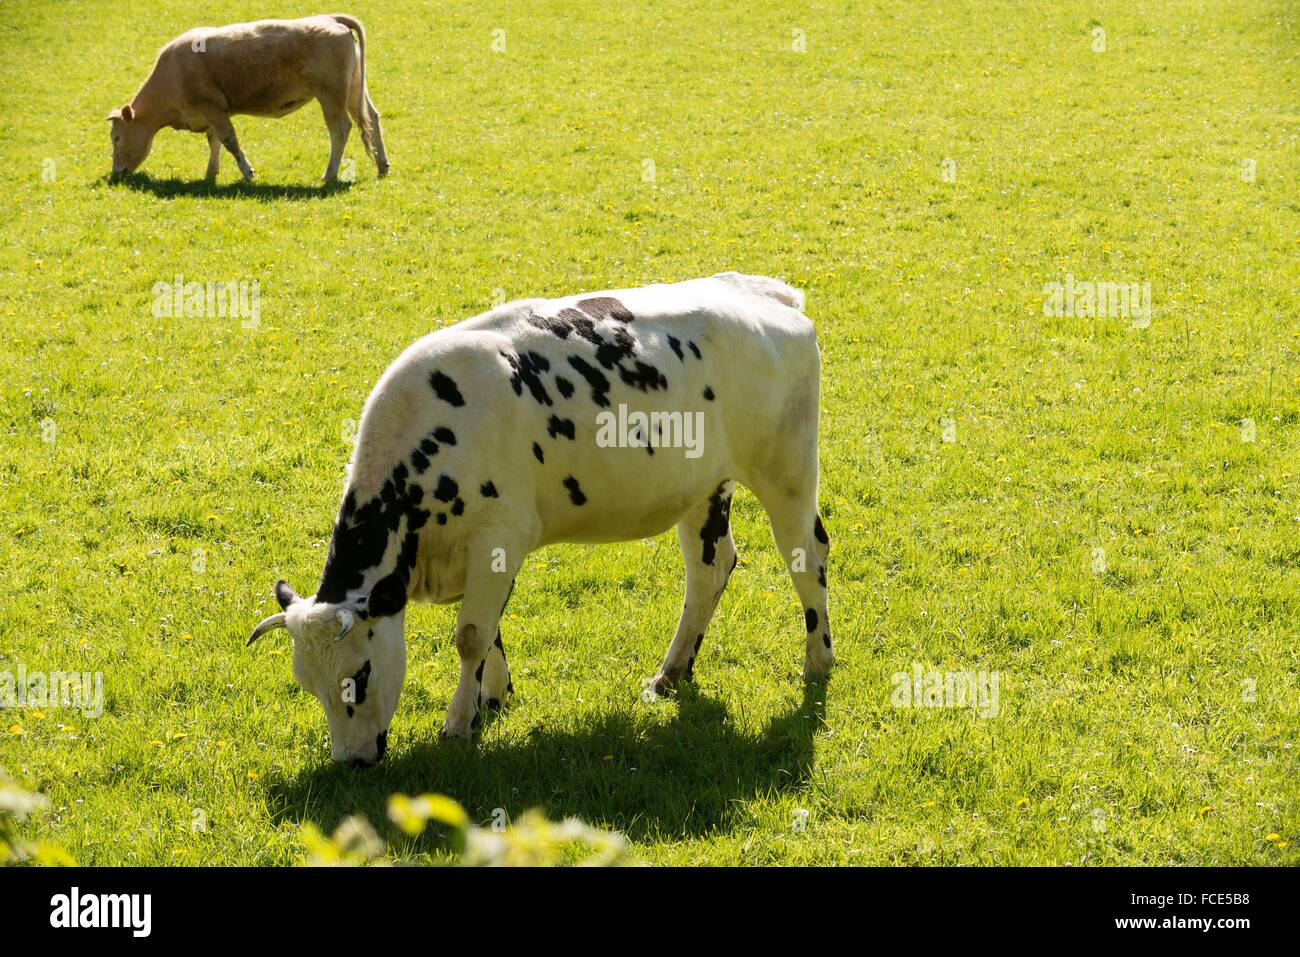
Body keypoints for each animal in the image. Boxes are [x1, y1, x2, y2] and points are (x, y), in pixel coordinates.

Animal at [109, 14, 388, 182]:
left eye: (116, 138)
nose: (116, 173)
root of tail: (330, 18)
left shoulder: (212, 108)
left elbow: (229, 140)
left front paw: (247, 172)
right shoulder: (210, 113)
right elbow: (214, 141)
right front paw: (211, 173)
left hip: (332, 94)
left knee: (340, 129)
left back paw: (329, 174)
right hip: (354, 89)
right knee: (371, 119)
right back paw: (383, 165)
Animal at [247, 273, 833, 765]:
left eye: (359, 677)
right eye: (308, 686)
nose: (351, 762)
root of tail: (765, 292)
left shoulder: (499, 535)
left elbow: (471, 634)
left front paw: (458, 724)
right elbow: (491, 631)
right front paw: (492, 697)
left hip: (788, 471)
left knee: (808, 558)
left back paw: (817, 664)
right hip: (704, 490)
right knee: (709, 570)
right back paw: (671, 673)